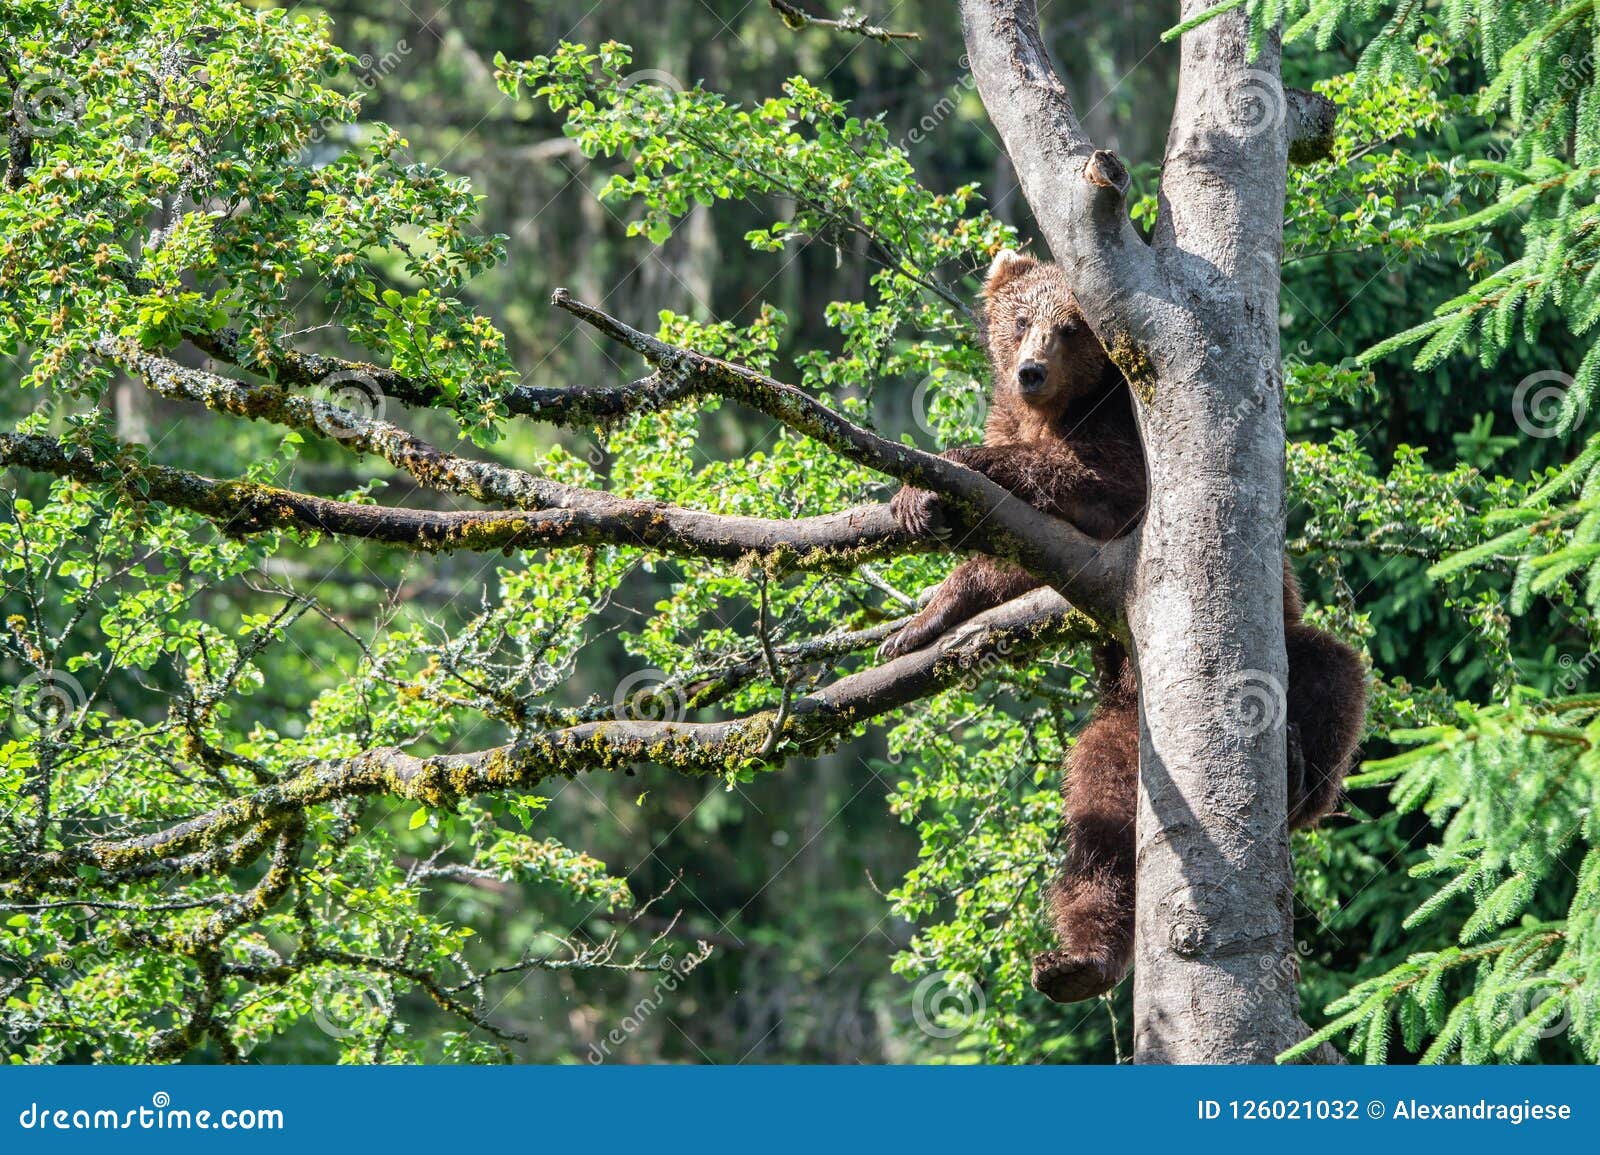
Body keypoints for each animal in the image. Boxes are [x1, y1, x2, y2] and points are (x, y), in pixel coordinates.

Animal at [880, 250, 1368, 1004]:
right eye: (1021, 321)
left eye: (1072, 328)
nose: (1031, 371)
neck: (1052, 415)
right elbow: (1013, 559)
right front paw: (920, 615)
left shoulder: (1122, 444)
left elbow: (1097, 485)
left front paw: (939, 477)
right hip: (1123, 736)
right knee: (1099, 826)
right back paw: (1077, 962)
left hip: (1281, 653)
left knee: (1335, 672)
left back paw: (1296, 776)